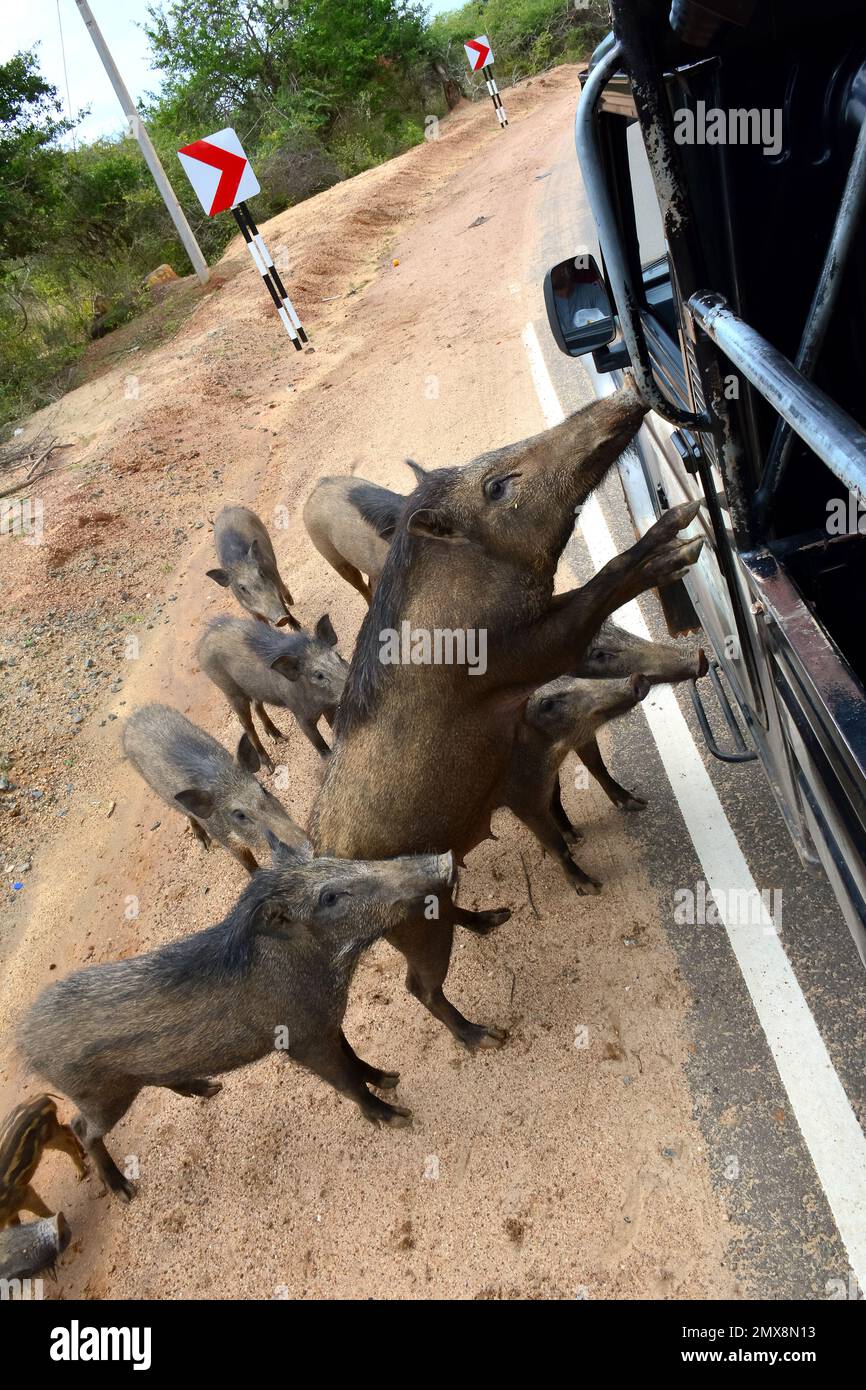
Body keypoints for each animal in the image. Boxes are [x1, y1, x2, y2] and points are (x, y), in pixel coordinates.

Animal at [17, 841, 456, 1199]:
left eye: (335, 862)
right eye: (329, 897)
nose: (444, 860)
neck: (304, 960)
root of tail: (26, 1041)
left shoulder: (325, 1022)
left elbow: (354, 1058)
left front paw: (389, 1077)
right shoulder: (303, 1040)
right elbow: (346, 1081)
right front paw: (395, 1117)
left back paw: (210, 1089)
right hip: (101, 1097)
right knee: (80, 1128)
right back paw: (124, 1190)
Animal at [123, 704, 307, 873]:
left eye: (263, 790)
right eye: (239, 815)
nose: (304, 844)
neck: (221, 778)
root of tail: (134, 715)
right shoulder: (227, 842)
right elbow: (250, 866)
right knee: (187, 814)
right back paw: (204, 844)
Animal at [197, 615, 348, 769]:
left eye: (339, 657)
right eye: (318, 675)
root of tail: (206, 635)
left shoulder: (329, 707)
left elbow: (334, 729)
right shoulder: (302, 718)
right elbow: (321, 746)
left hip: (254, 688)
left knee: (257, 706)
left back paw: (280, 737)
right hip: (232, 693)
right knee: (246, 725)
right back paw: (269, 766)